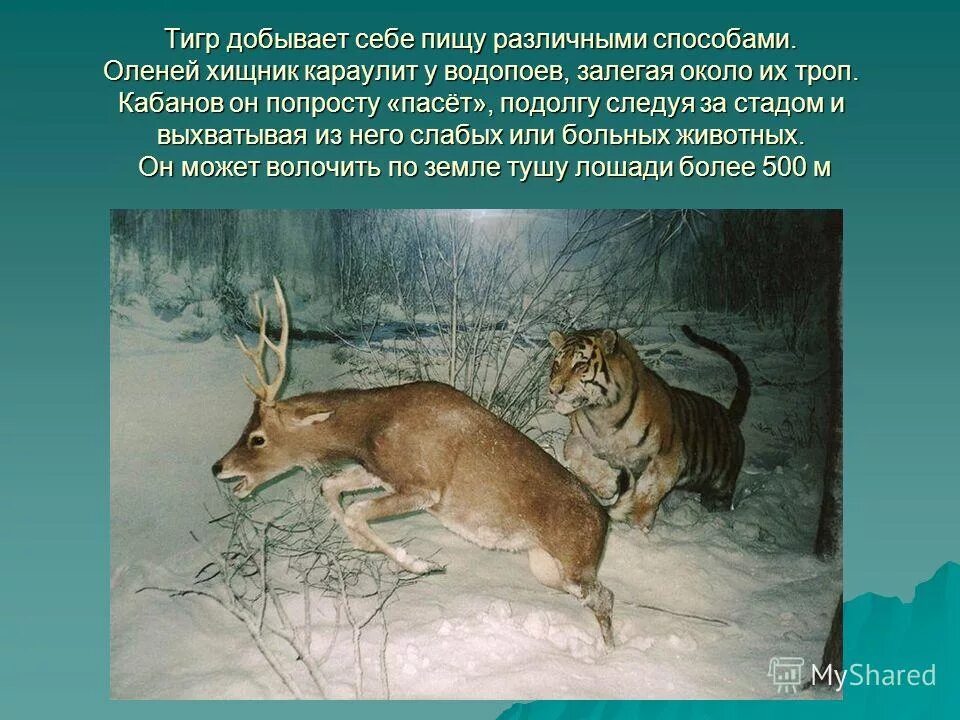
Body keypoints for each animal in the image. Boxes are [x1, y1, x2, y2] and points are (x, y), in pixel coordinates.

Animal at [211, 279, 614, 647]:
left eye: (257, 437)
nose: (218, 467)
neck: (371, 427)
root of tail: (603, 521)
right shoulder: (380, 472)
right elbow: (330, 487)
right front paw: (364, 545)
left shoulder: (425, 487)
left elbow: (357, 510)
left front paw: (422, 564)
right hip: (546, 566)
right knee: (599, 597)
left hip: (574, 561)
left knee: (604, 597)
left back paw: (607, 655)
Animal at [547, 325, 750, 531]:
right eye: (556, 365)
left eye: (580, 365)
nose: (553, 390)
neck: (603, 414)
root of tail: (730, 415)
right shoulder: (577, 437)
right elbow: (575, 454)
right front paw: (606, 484)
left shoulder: (669, 457)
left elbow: (648, 490)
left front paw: (638, 525)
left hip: (721, 487)